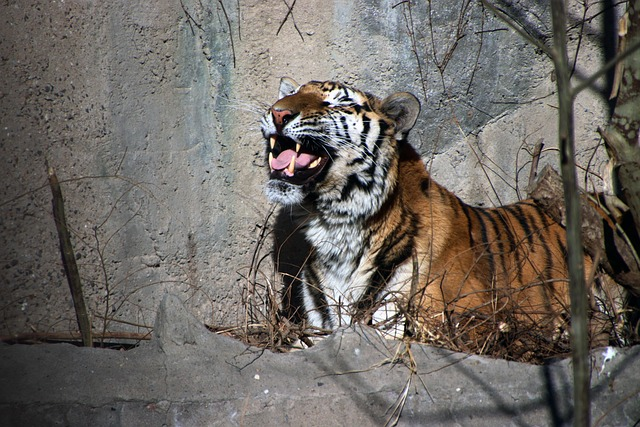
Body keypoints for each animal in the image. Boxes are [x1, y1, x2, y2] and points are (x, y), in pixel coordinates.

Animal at [260, 77, 615, 349]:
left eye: (334, 103)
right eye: (291, 93)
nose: (278, 112)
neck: (337, 226)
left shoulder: (466, 323)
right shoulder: (321, 324)